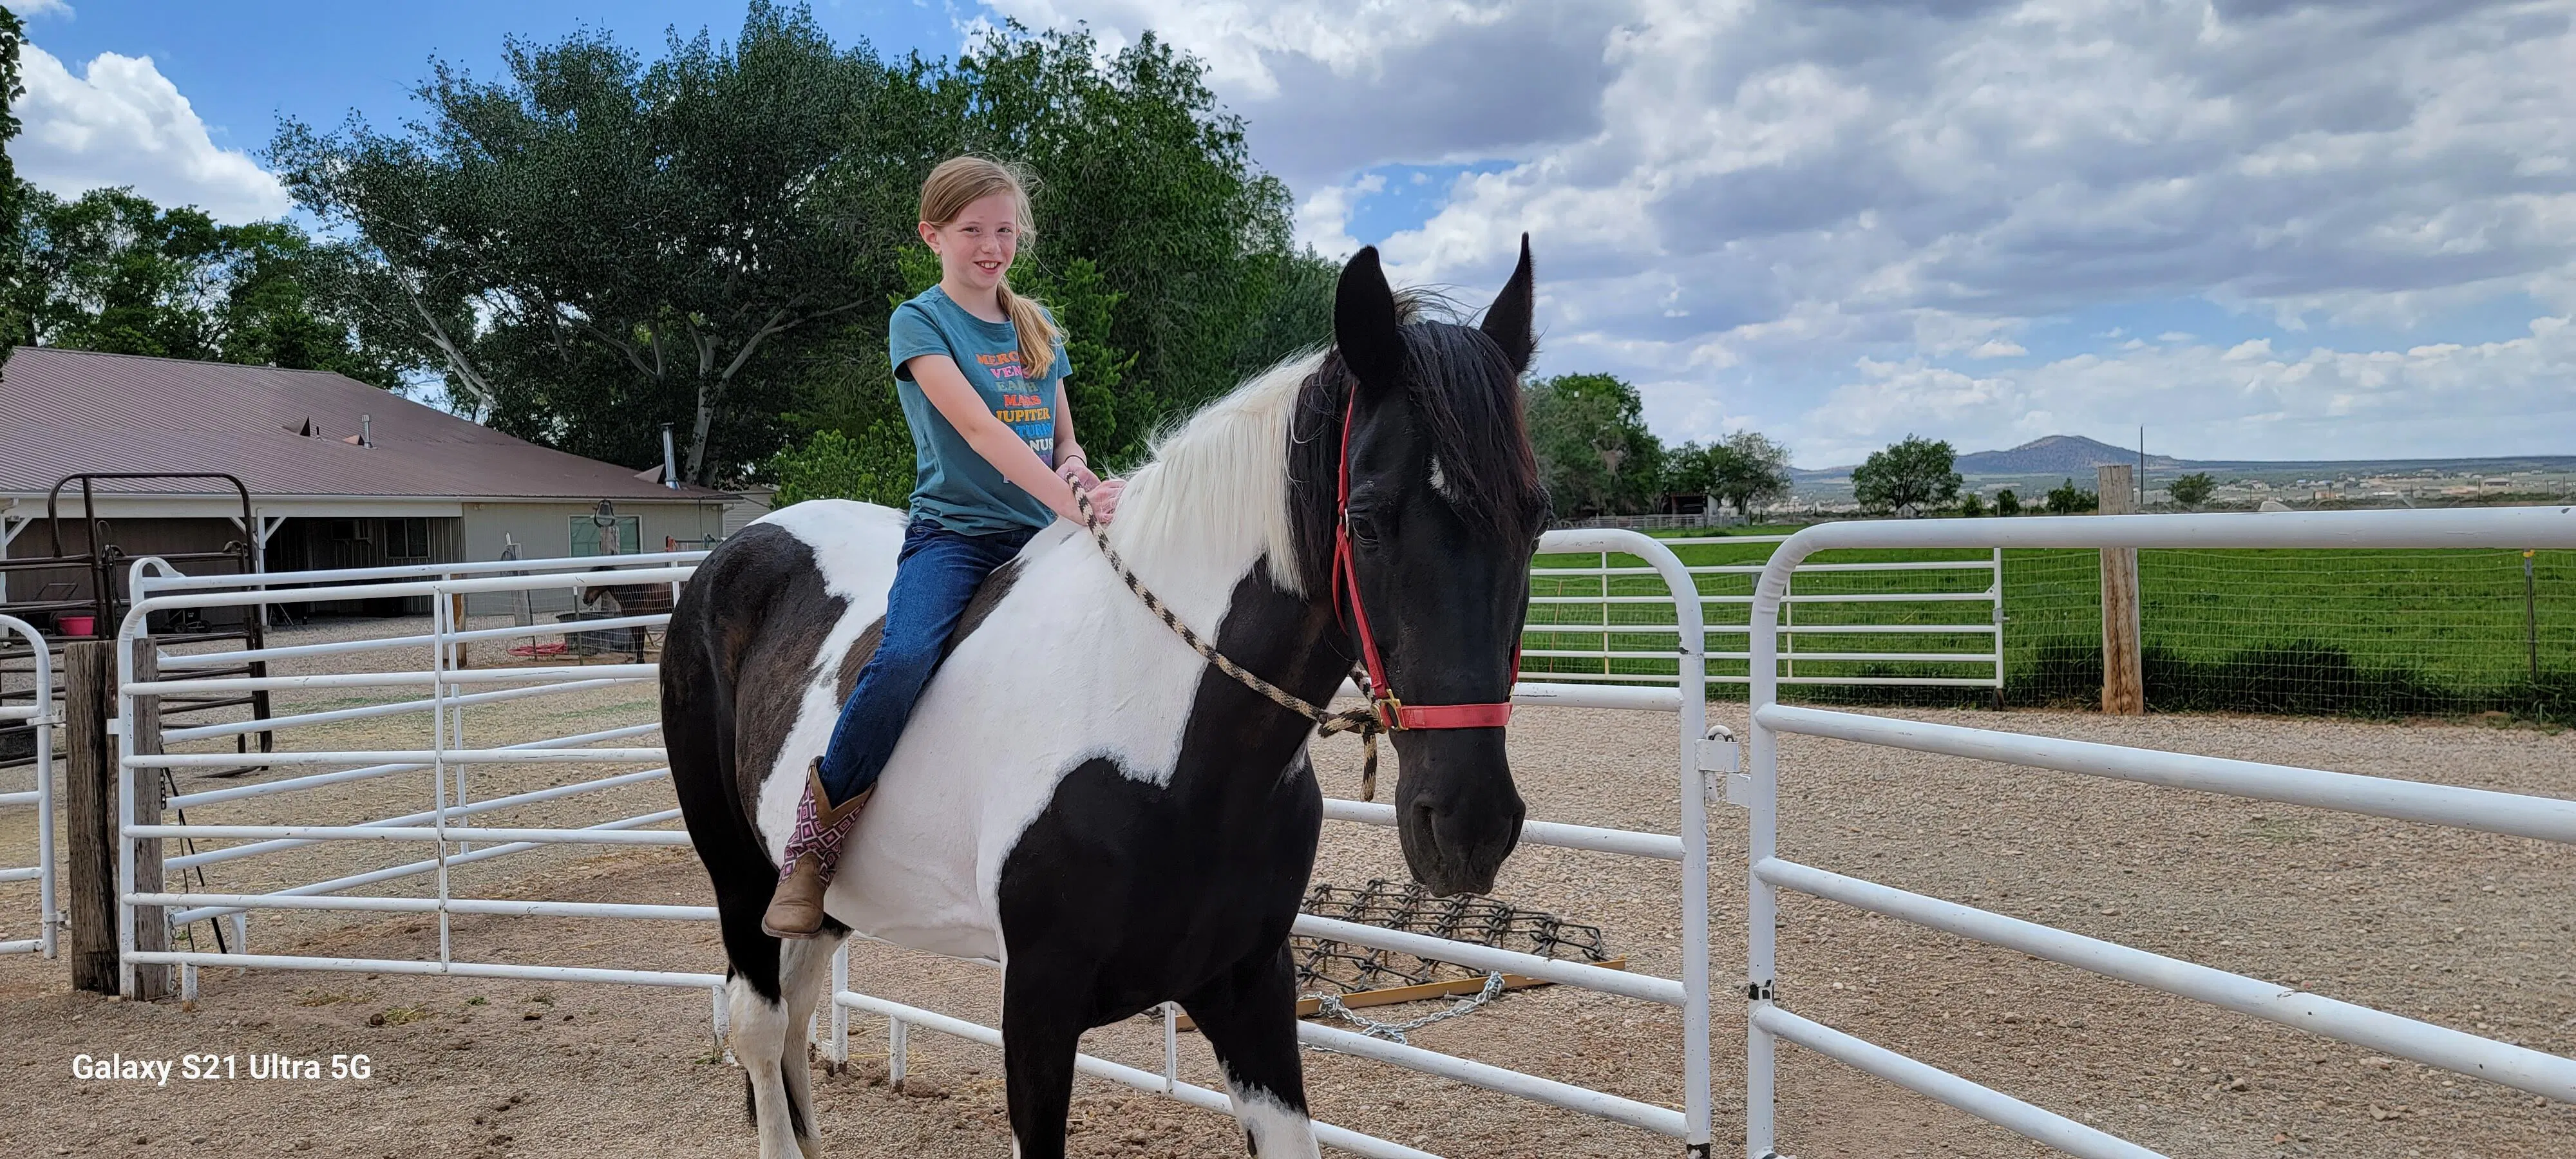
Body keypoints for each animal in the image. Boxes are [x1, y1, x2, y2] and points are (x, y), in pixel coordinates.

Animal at [661, 241, 1548, 1159]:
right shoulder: (1037, 1011)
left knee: (798, 1020)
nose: (1471, 825)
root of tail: (738, 551)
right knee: (762, 1030)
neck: (1165, 745)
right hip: (740, 873)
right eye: (1366, 522)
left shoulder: (1251, 989)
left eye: (1536, 518)